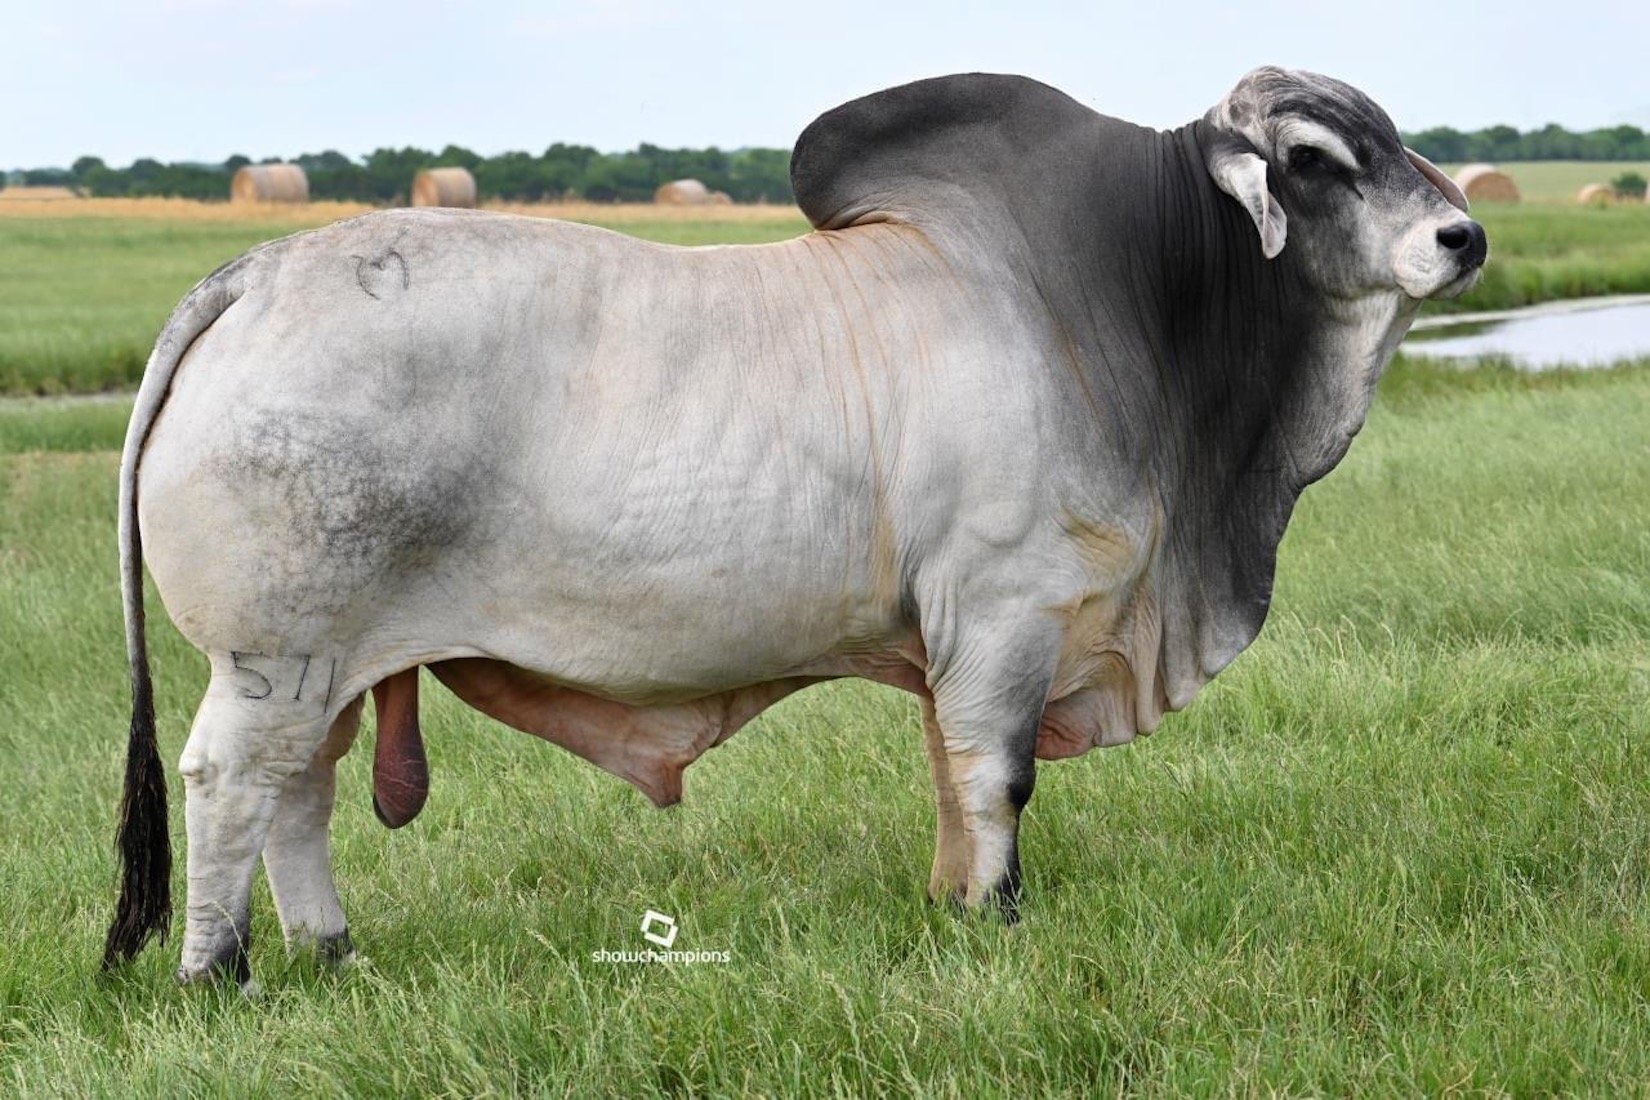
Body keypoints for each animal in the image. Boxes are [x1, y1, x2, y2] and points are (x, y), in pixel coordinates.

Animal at [103, 67, 1484, 989]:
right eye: (1314, 155)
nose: (1465, 235)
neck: (1122, 304)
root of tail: (254, 272)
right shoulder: (1009, 609)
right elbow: (1002, 773)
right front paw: (999, 919)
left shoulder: (953, 637)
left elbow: (948, 771)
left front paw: (951, 904)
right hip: (273, 654)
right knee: (232, 783)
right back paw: (219, 972)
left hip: (333, 661)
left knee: (304, 791)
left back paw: (333, 951)